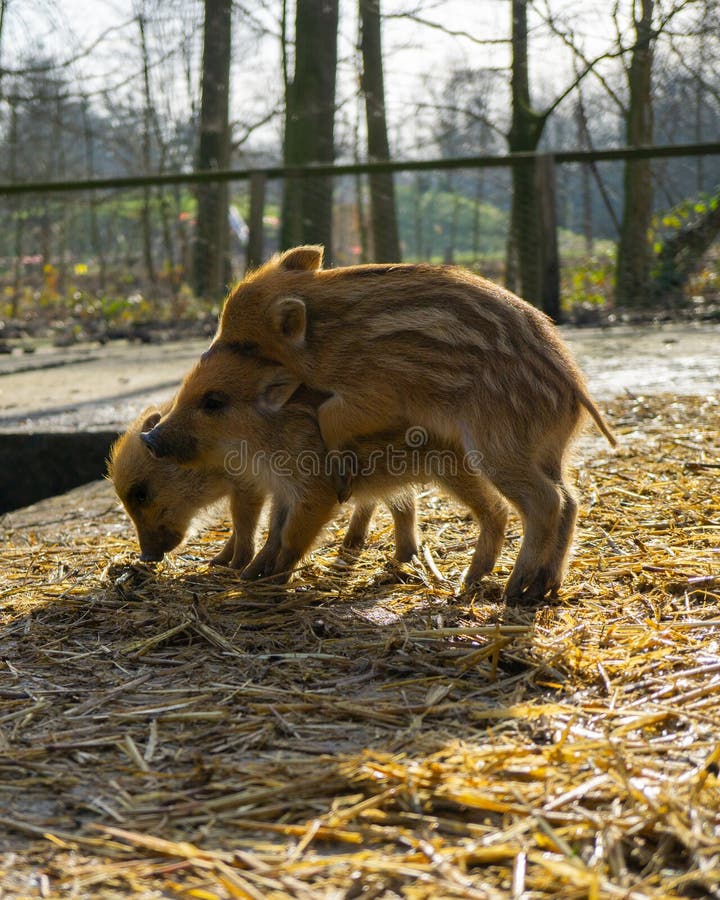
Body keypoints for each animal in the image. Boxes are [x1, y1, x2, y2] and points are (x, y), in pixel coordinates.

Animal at [109, 401, 420, 570]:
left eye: (140, 493)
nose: (146, 556)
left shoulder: (249, 485)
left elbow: (243, 520)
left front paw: (233, 565)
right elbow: (240, 524)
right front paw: (217, 562)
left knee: (404, 502)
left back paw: (405, 557)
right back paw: (351, 543)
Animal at [207, 245, 616, 601]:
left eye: (244, 344)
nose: (207, 363)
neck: (324, 335)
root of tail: (574, 389)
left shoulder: (375, 391)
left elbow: (329, 417)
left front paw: (341, 477)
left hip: (498, 445)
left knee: (545, 501)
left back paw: (512, 588)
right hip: (548, 450)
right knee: (570, 500)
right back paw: (539, 586)